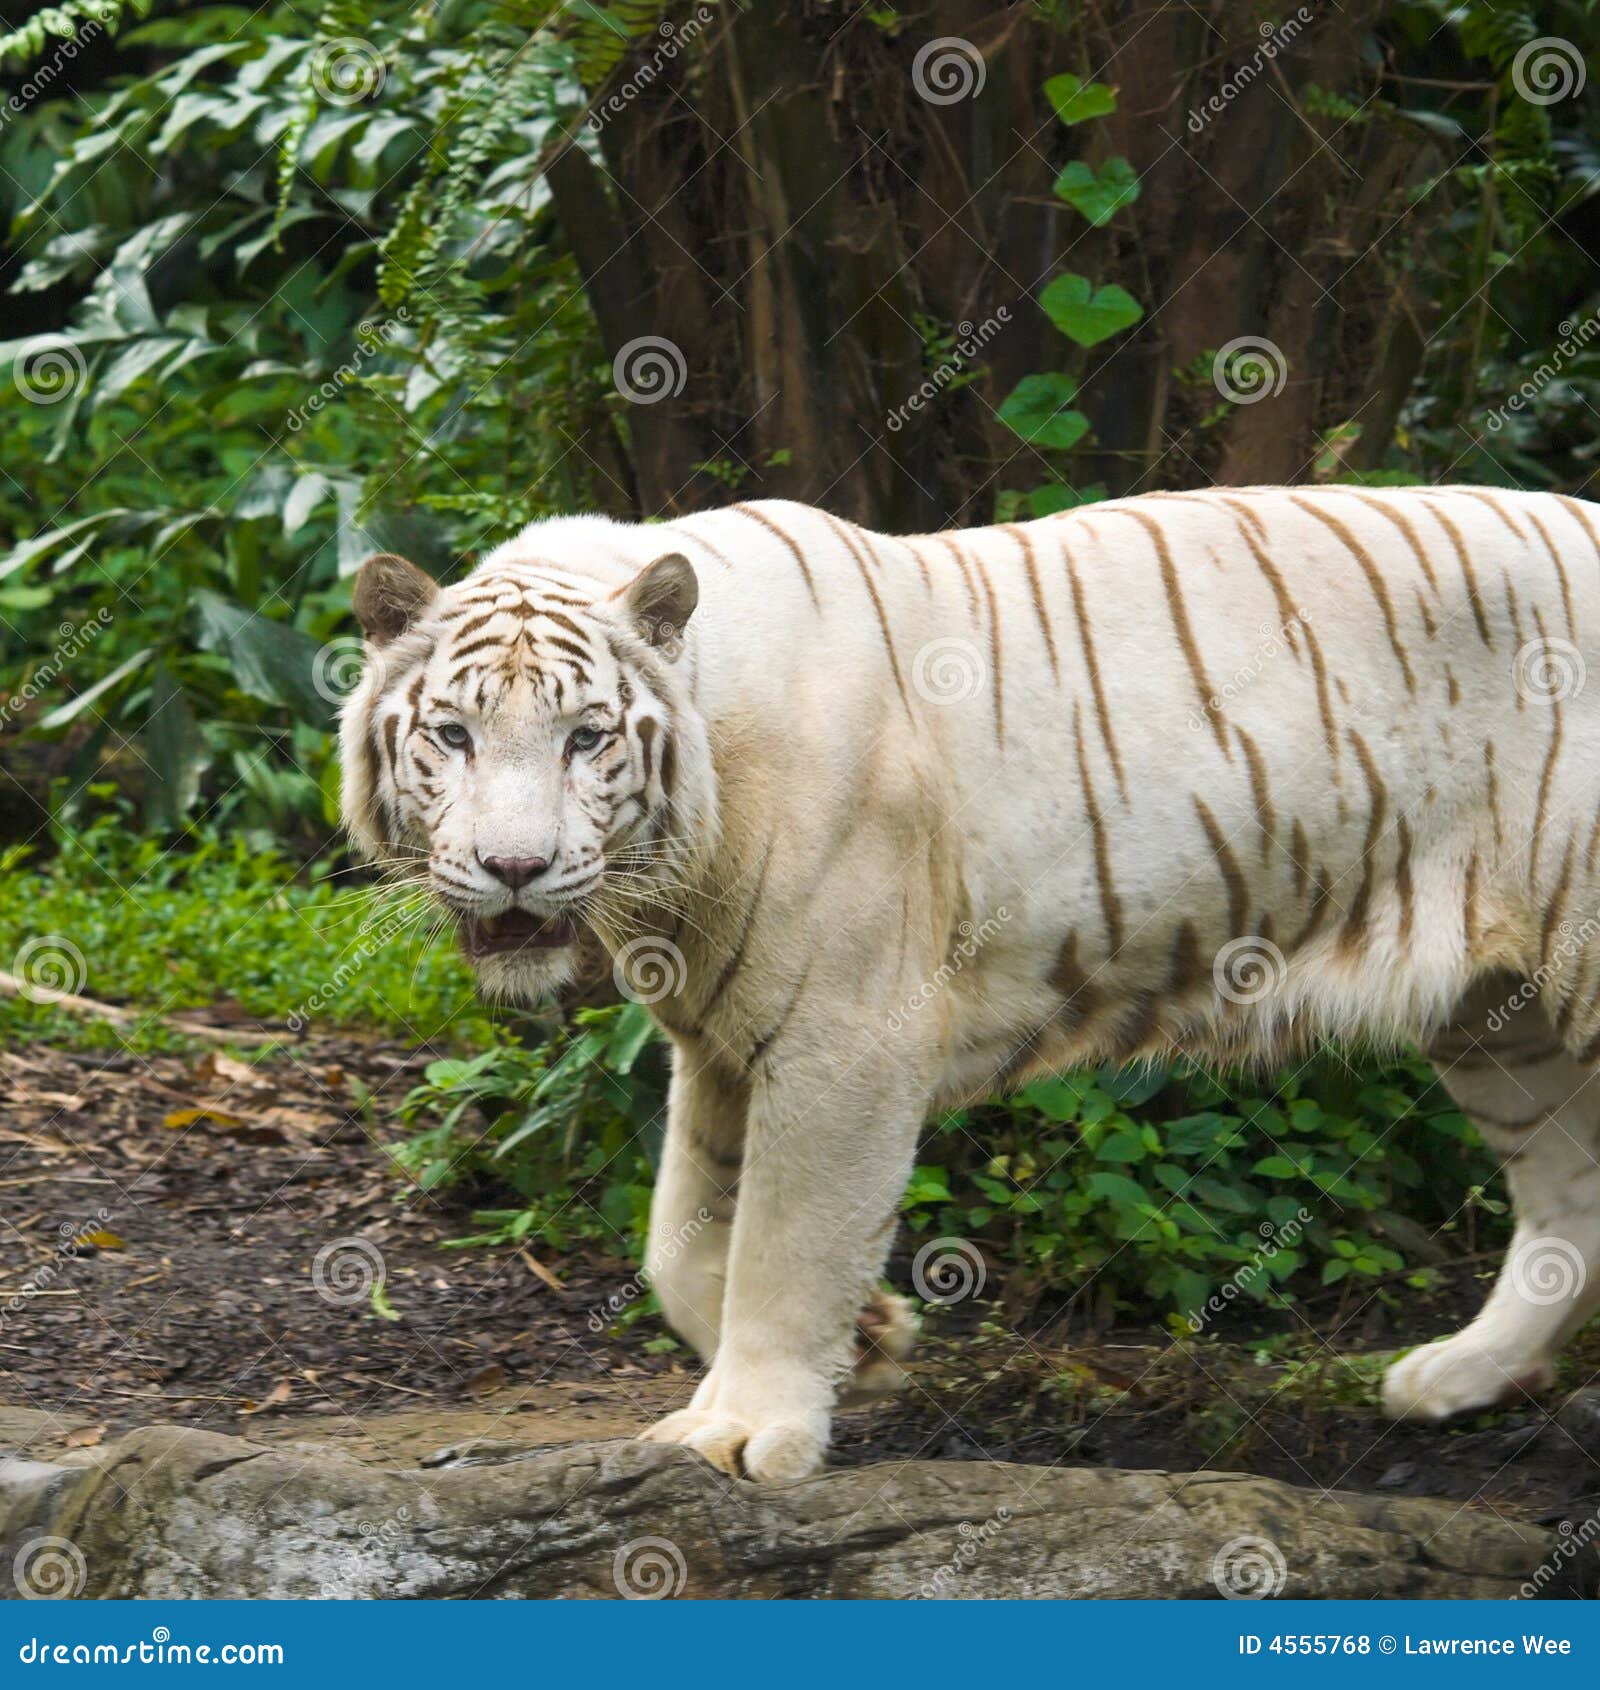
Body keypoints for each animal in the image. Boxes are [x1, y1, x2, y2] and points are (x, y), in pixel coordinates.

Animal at [341, 484, 1600, 1482]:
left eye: (587, 737)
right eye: (452, 736)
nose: (515, 867)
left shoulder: (842, 1037)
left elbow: (783, 1244)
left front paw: (745, 1434)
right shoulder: (723, 1038)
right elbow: (682, 1243)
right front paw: (869, 1343)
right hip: (1495, 1017)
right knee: (1567, 1196)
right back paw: (1457, 1375)